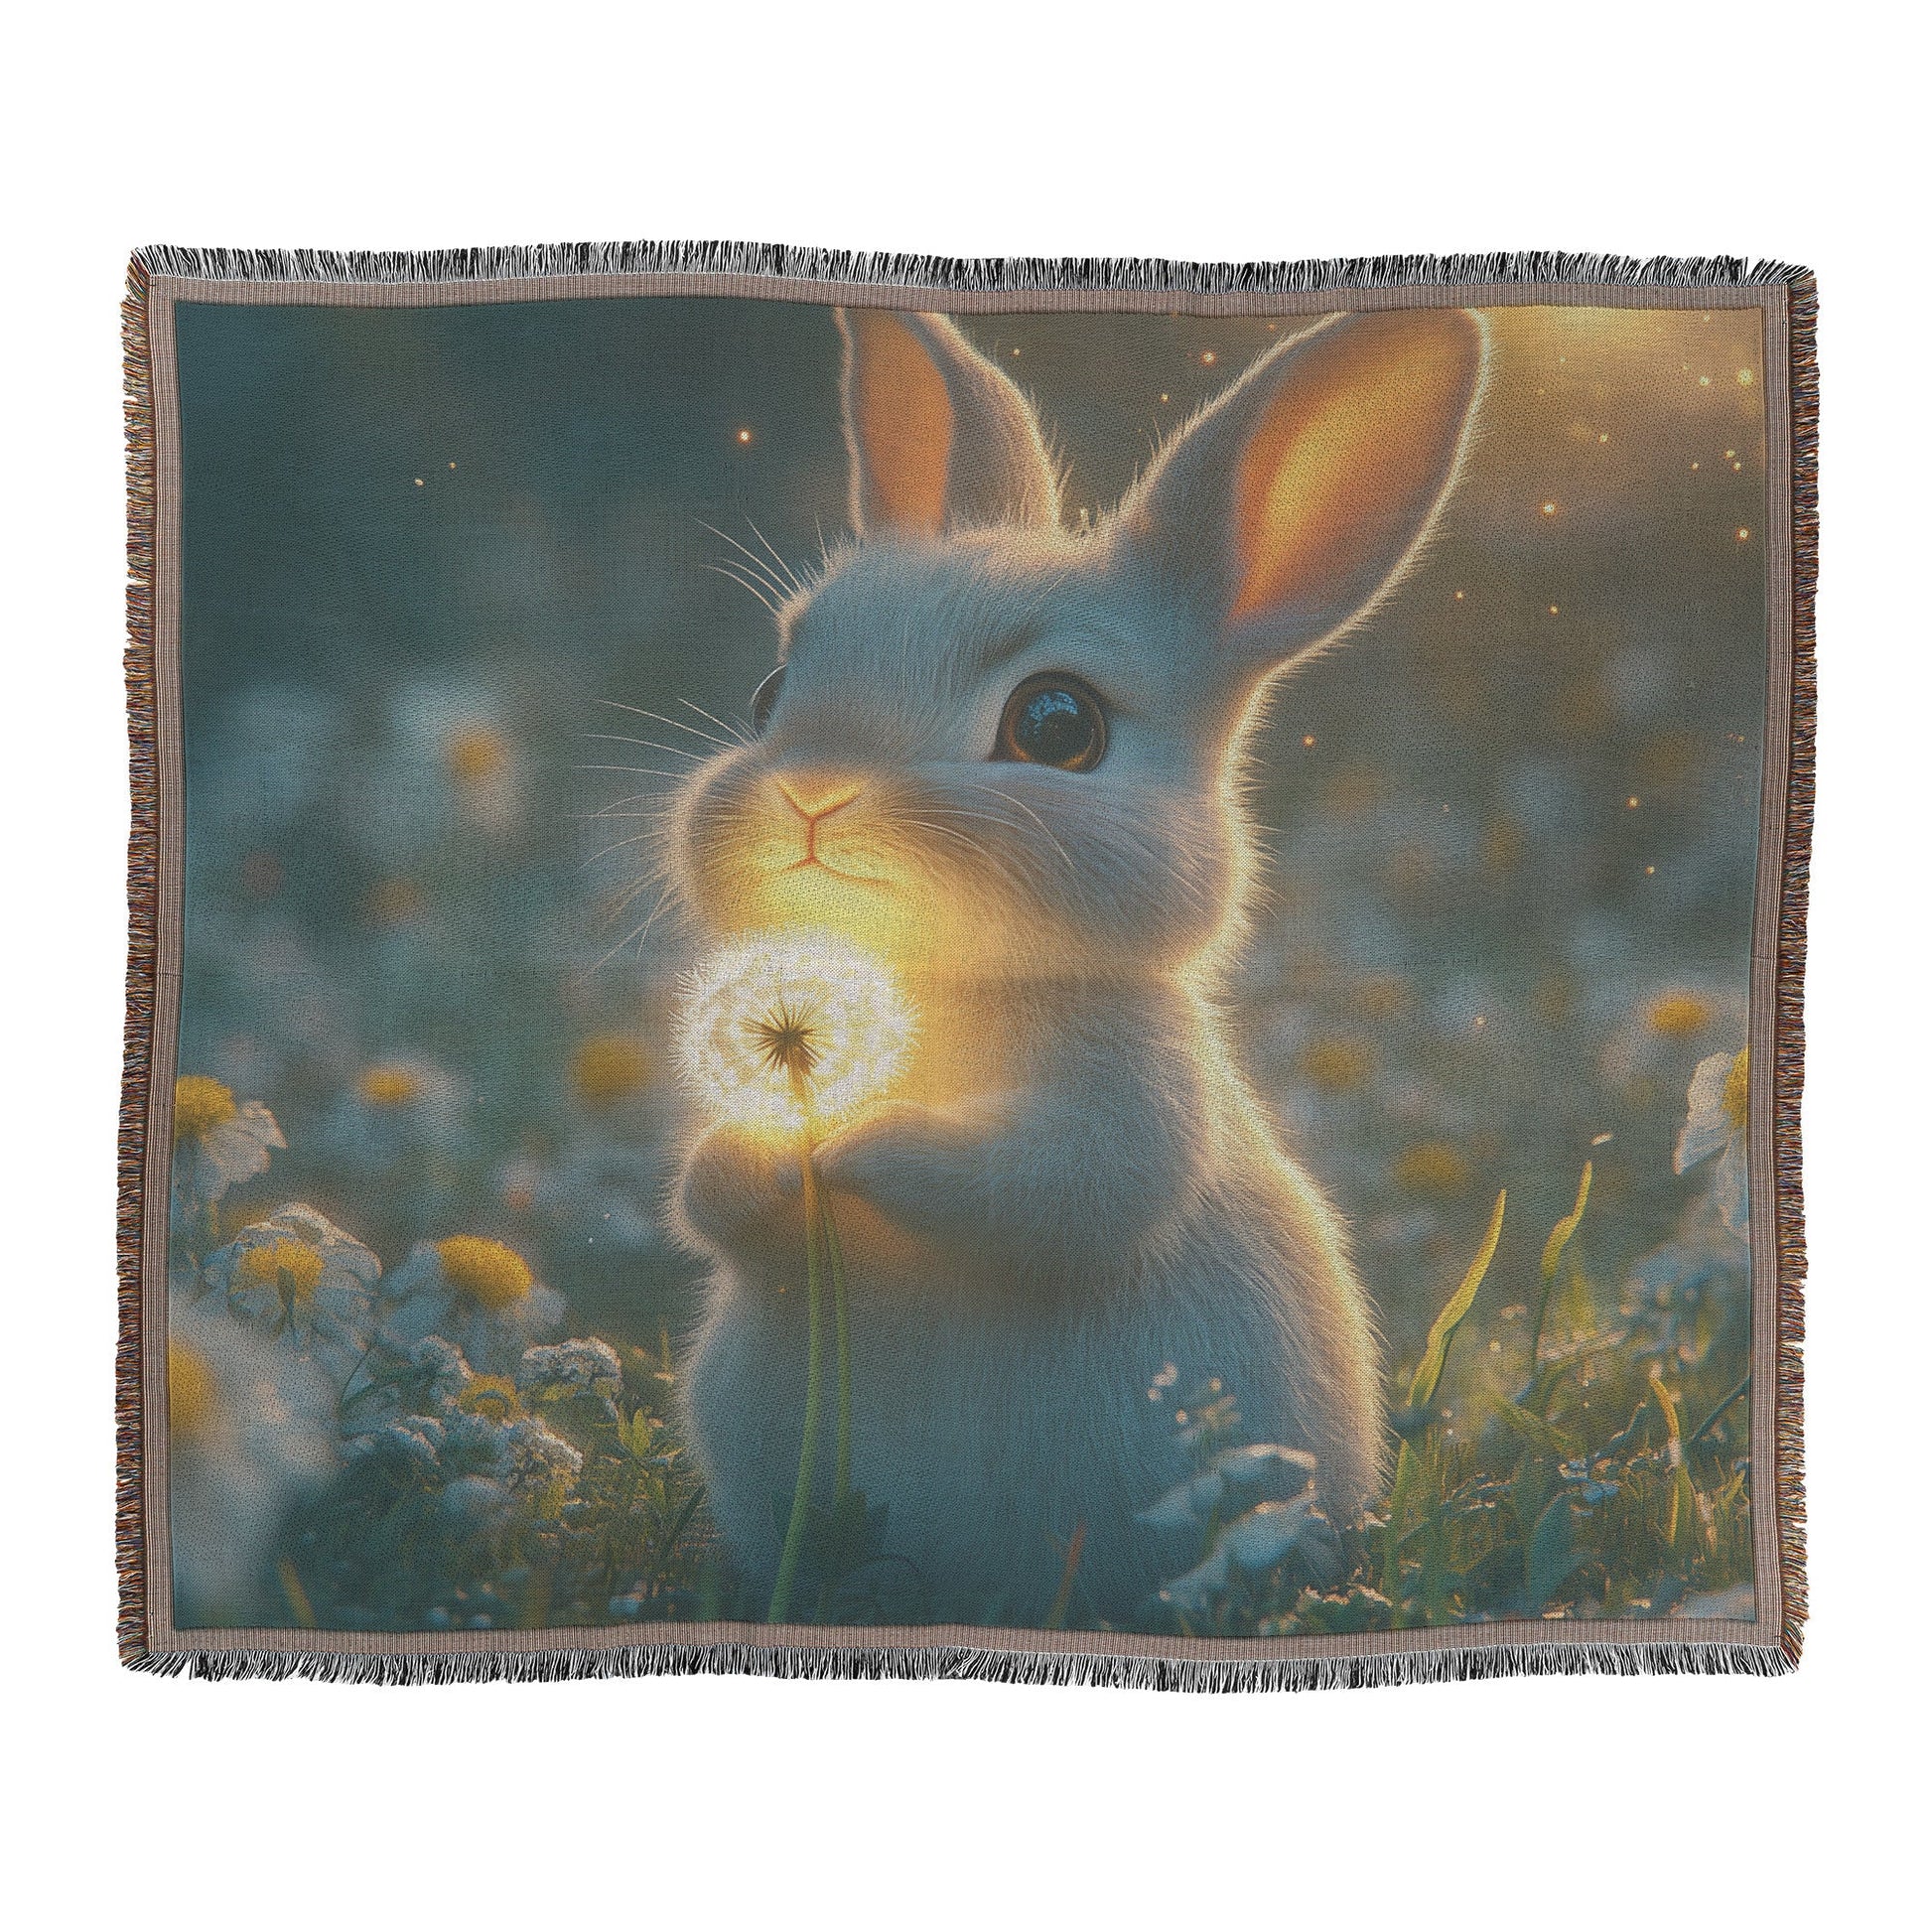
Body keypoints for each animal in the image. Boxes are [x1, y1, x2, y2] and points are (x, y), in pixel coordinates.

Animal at [663, 302, 1488, 1624]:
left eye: (1058, 725)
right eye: (769, 689)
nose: (809, 794)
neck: (952, 989)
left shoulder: (1127, 1105)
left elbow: (1061, 1181)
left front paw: (847, 1147)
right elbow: (710, 1196)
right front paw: (777, 1153)